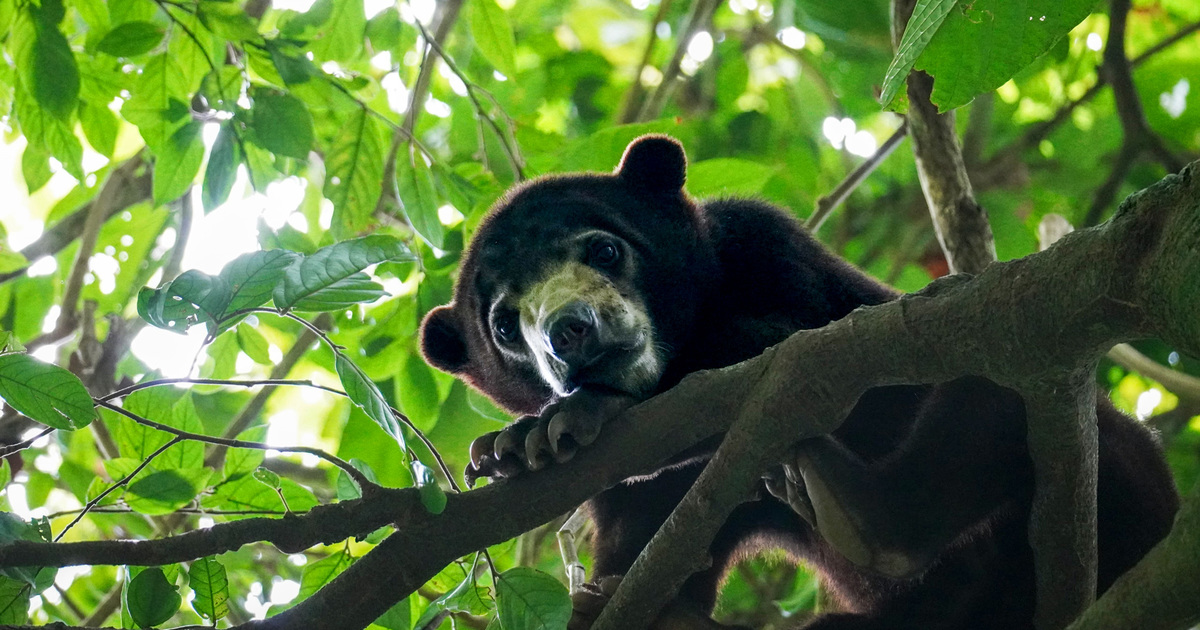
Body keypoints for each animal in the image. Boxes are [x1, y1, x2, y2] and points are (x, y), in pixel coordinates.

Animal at [420, 135, 1179, 629]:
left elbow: (789, 347)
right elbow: (647, 549)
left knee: (993, 377)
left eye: (604, 249)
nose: (568, 331)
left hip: (1119, 474)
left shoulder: (767, 242)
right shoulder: (618, 494)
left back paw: (867, 515)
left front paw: (548, 427)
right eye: (505, 326)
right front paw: (517, 451)